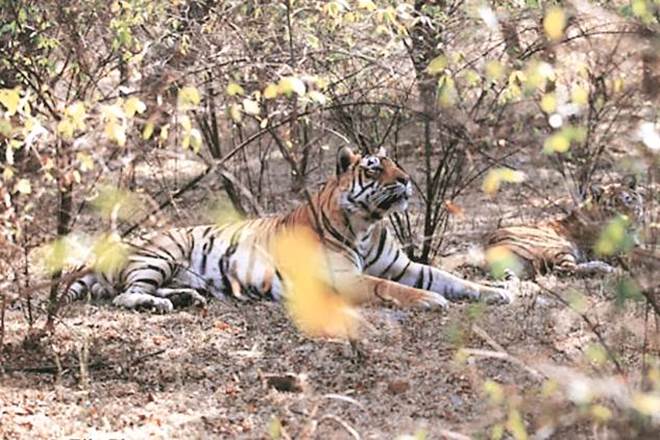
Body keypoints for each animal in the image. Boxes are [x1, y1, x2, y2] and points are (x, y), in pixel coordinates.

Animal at [62, 146, 514, 313]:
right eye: (374, 168)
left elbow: (447, 277)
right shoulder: (344, 277)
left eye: (396, 163)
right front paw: (429, 301)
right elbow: (390, 288)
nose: (406, 180)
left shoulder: (404, 266)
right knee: (125, 295)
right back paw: (159, 304)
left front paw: (493, 292)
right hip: (162, 252)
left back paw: (186, 297)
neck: (367, 224)